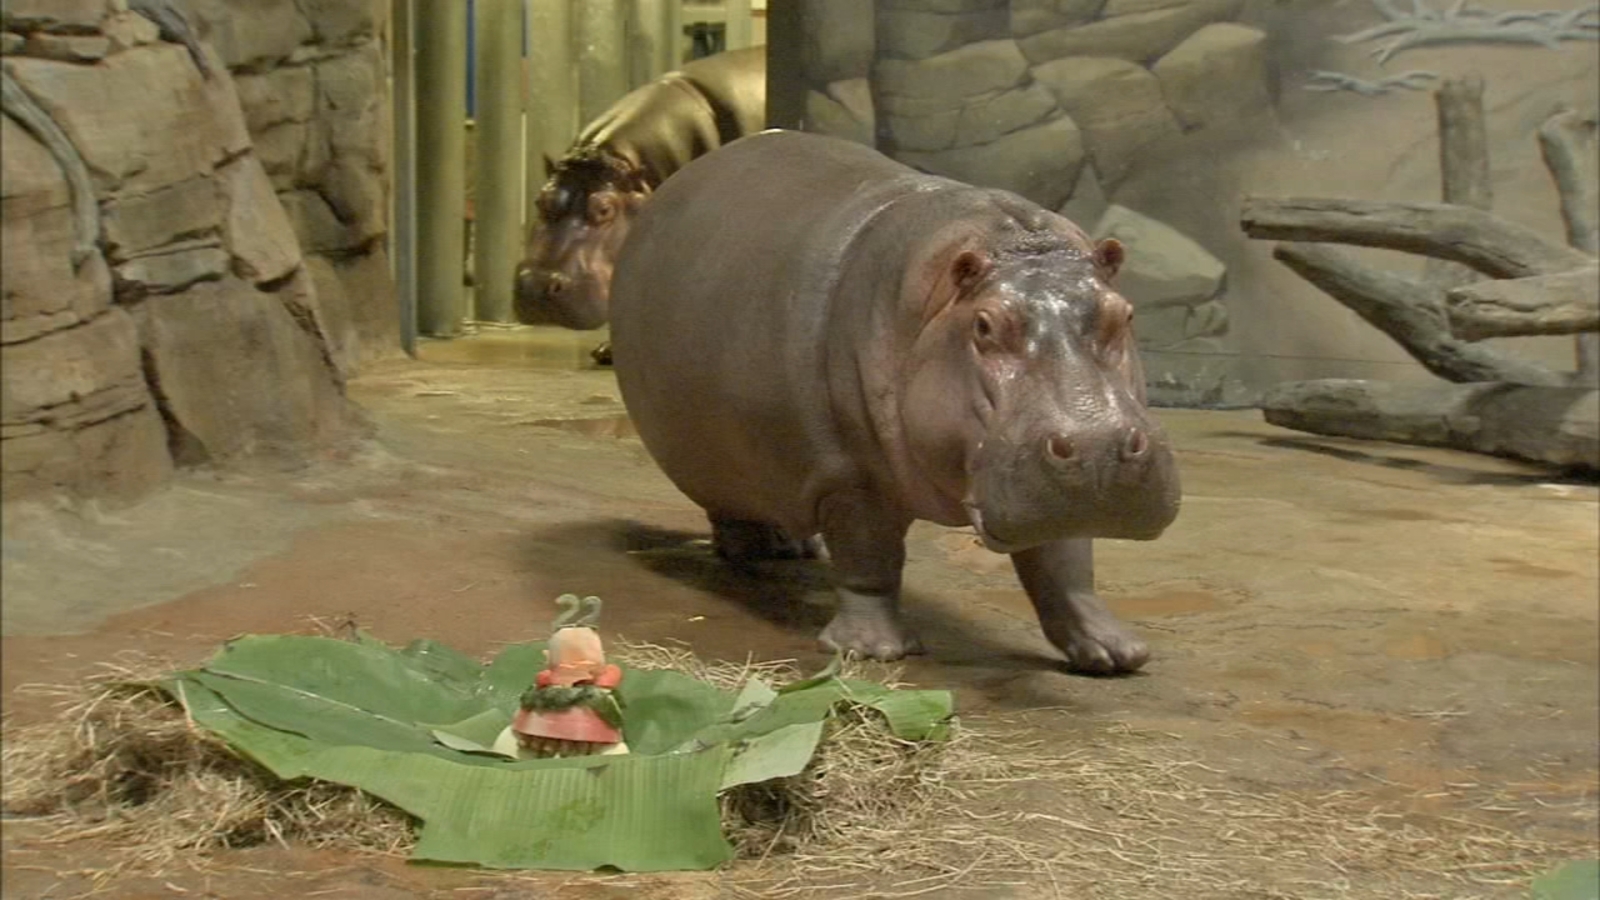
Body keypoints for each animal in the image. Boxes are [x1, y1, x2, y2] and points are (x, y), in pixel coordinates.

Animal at [607, 130, 1182, 674]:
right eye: (984, 325)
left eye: (1124, 314)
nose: (1098, 446)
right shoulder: (851, 475)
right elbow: (869, 559)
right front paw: (874, 650)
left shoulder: (1056, 497)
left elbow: (1064, 563)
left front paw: (1116, 653)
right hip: (712, 460)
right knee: (732, 512)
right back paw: (756, 553)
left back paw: (795, 547)